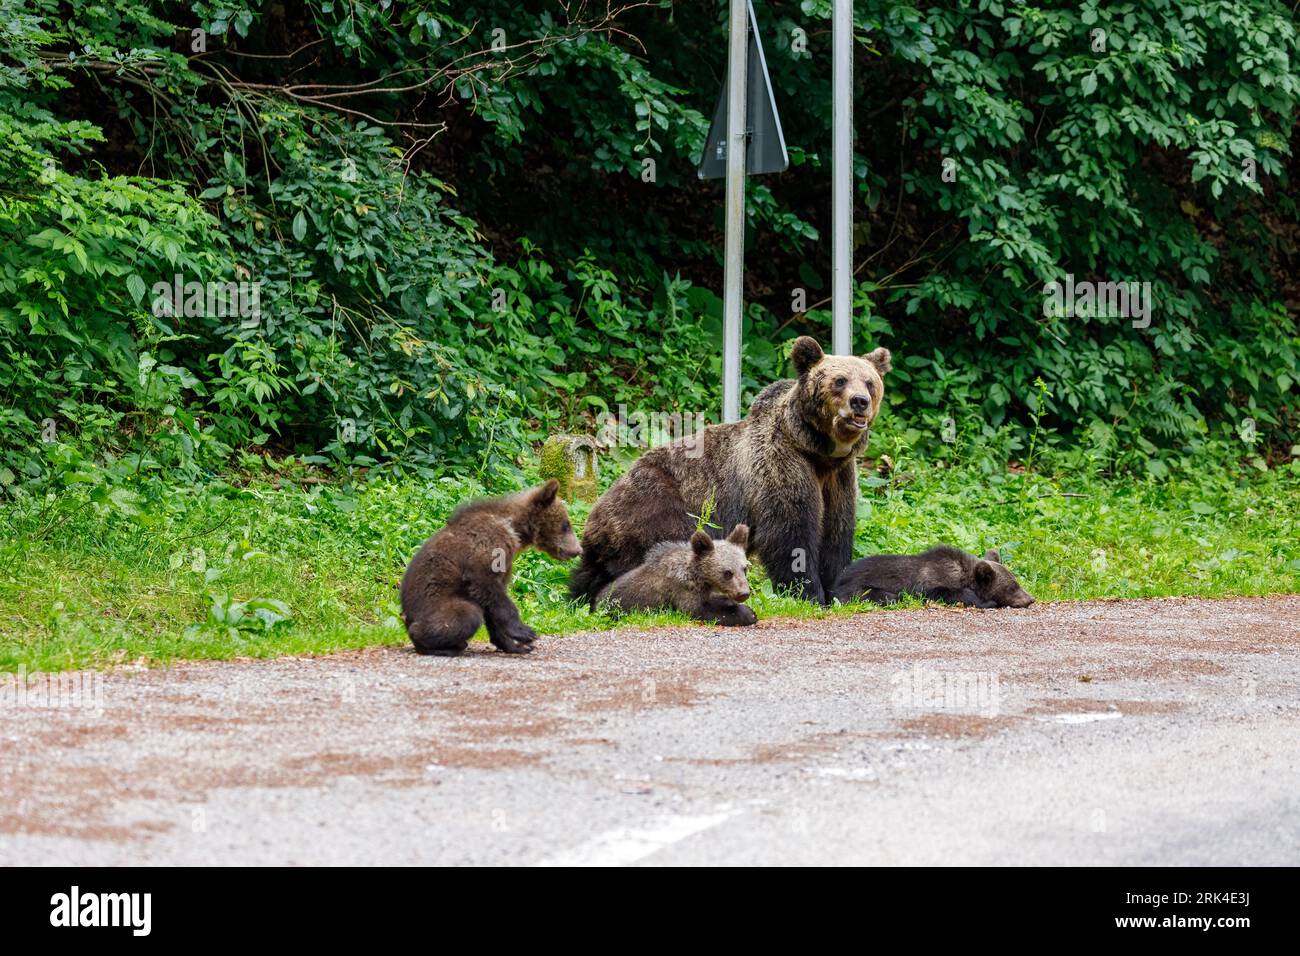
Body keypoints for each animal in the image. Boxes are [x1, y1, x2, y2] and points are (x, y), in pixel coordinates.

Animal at [400, 479, 582, 655]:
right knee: (467, 613)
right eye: (566, 524)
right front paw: (525, 632)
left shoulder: (507, 561)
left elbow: (493, 605)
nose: (578, 550)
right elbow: (489, 588)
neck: (514, 529)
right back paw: (444, 646)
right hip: (436, 605)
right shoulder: (487, 549)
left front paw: (515, 646)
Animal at [570, 336, 891, 607]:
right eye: (840, 380)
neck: (817, 451)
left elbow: (836, 533)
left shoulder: (838, 479)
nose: (859, 402)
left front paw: (843, 589)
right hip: (657, 512)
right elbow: (792, 533)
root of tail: (594, 517)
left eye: (869, 382)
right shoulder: (780, 467)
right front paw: (809, 593)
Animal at [596, 524, 756, 626]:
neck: (700, 578)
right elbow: (699, 610)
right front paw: (748, 613)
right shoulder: (682, 590)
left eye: (744, 568)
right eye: (727, 573)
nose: (743, 593)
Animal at [831, 546, 1035, 609]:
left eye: (1016, 581)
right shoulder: (932, 584)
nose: (1031, 599)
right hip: (860, 588)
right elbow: (950, 593)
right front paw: (988, 602)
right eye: (1013, 586)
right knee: (889, 596)